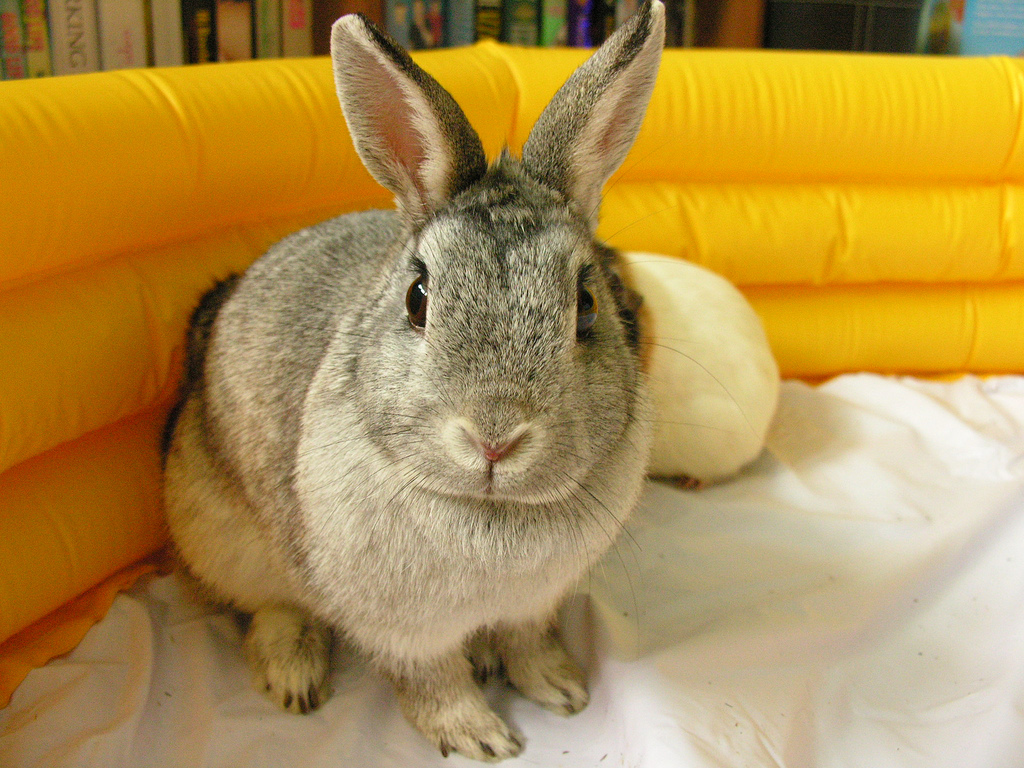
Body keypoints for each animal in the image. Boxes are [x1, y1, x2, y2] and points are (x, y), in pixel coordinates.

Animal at [163, 2, 664, 761]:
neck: (487, 511)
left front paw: (562, 691)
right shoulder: (403, 631)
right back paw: (294, 673)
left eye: (586, 305)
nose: (494, 439)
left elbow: (527, 642)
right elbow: (430, 679)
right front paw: (482, 737)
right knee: (267, 605)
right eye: (417, 299)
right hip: (219, 537)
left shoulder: (531, 604)